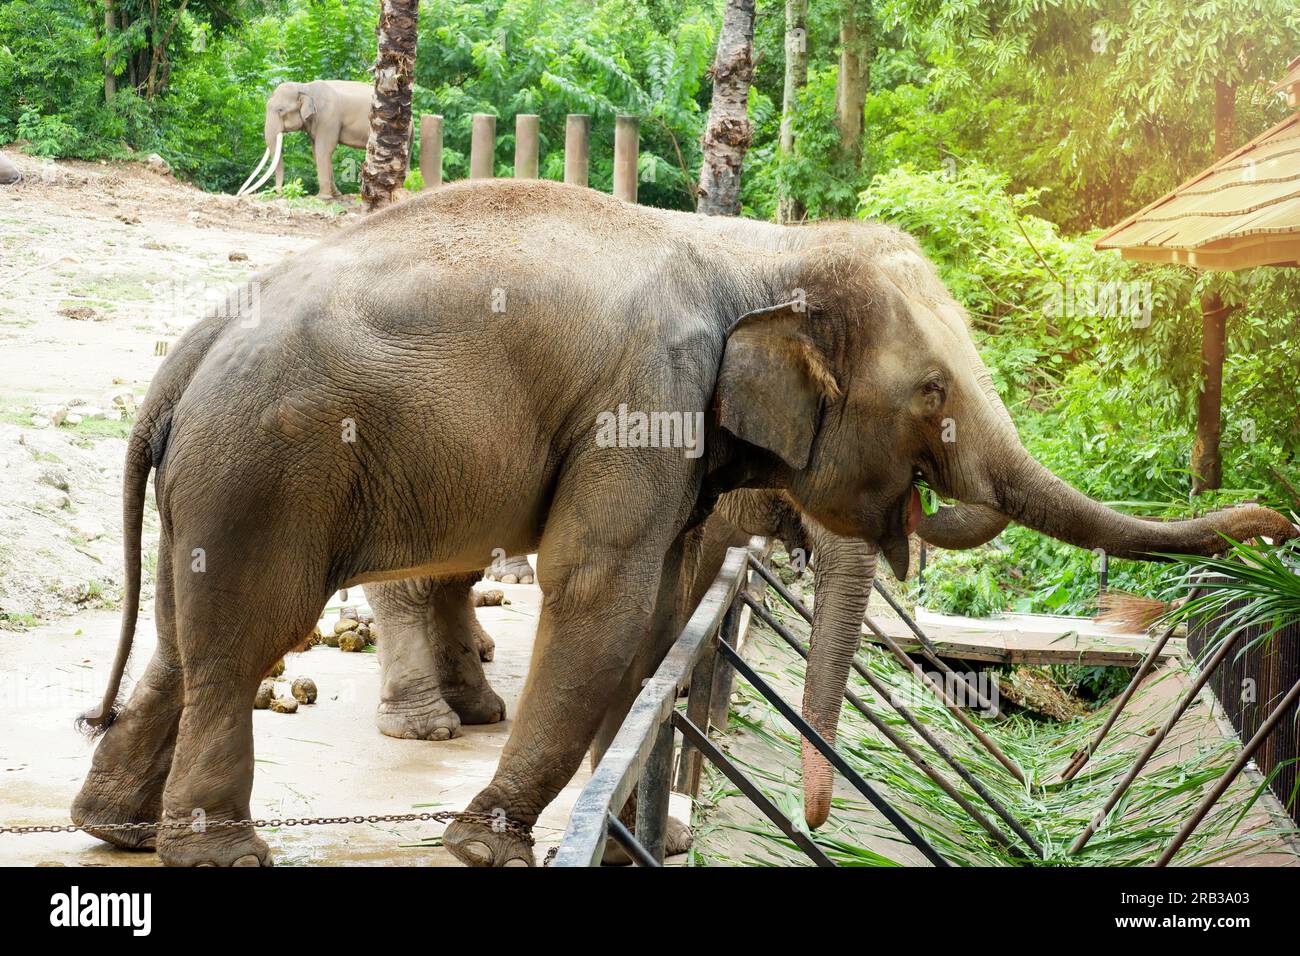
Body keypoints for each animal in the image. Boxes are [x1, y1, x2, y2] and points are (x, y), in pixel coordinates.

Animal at [71, 179, 1295, 868]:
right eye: (933, 392)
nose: (1275, 522)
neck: (757, 247)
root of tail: (183, 357)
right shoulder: (646, 394)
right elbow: (603, 596)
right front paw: (484, 843)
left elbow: (657, 615)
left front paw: (635, 828)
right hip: (274, 462)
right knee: (248, 634)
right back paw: (227, 854)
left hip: (226, 476)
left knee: (189, 636)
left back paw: (117, 830)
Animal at [237, 80, 373, 199]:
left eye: (280, 110)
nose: (281, 193)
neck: (305, 87)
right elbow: (316, 152)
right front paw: (336, 195)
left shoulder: (328, 119)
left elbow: (323, 149)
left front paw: (323, 197)